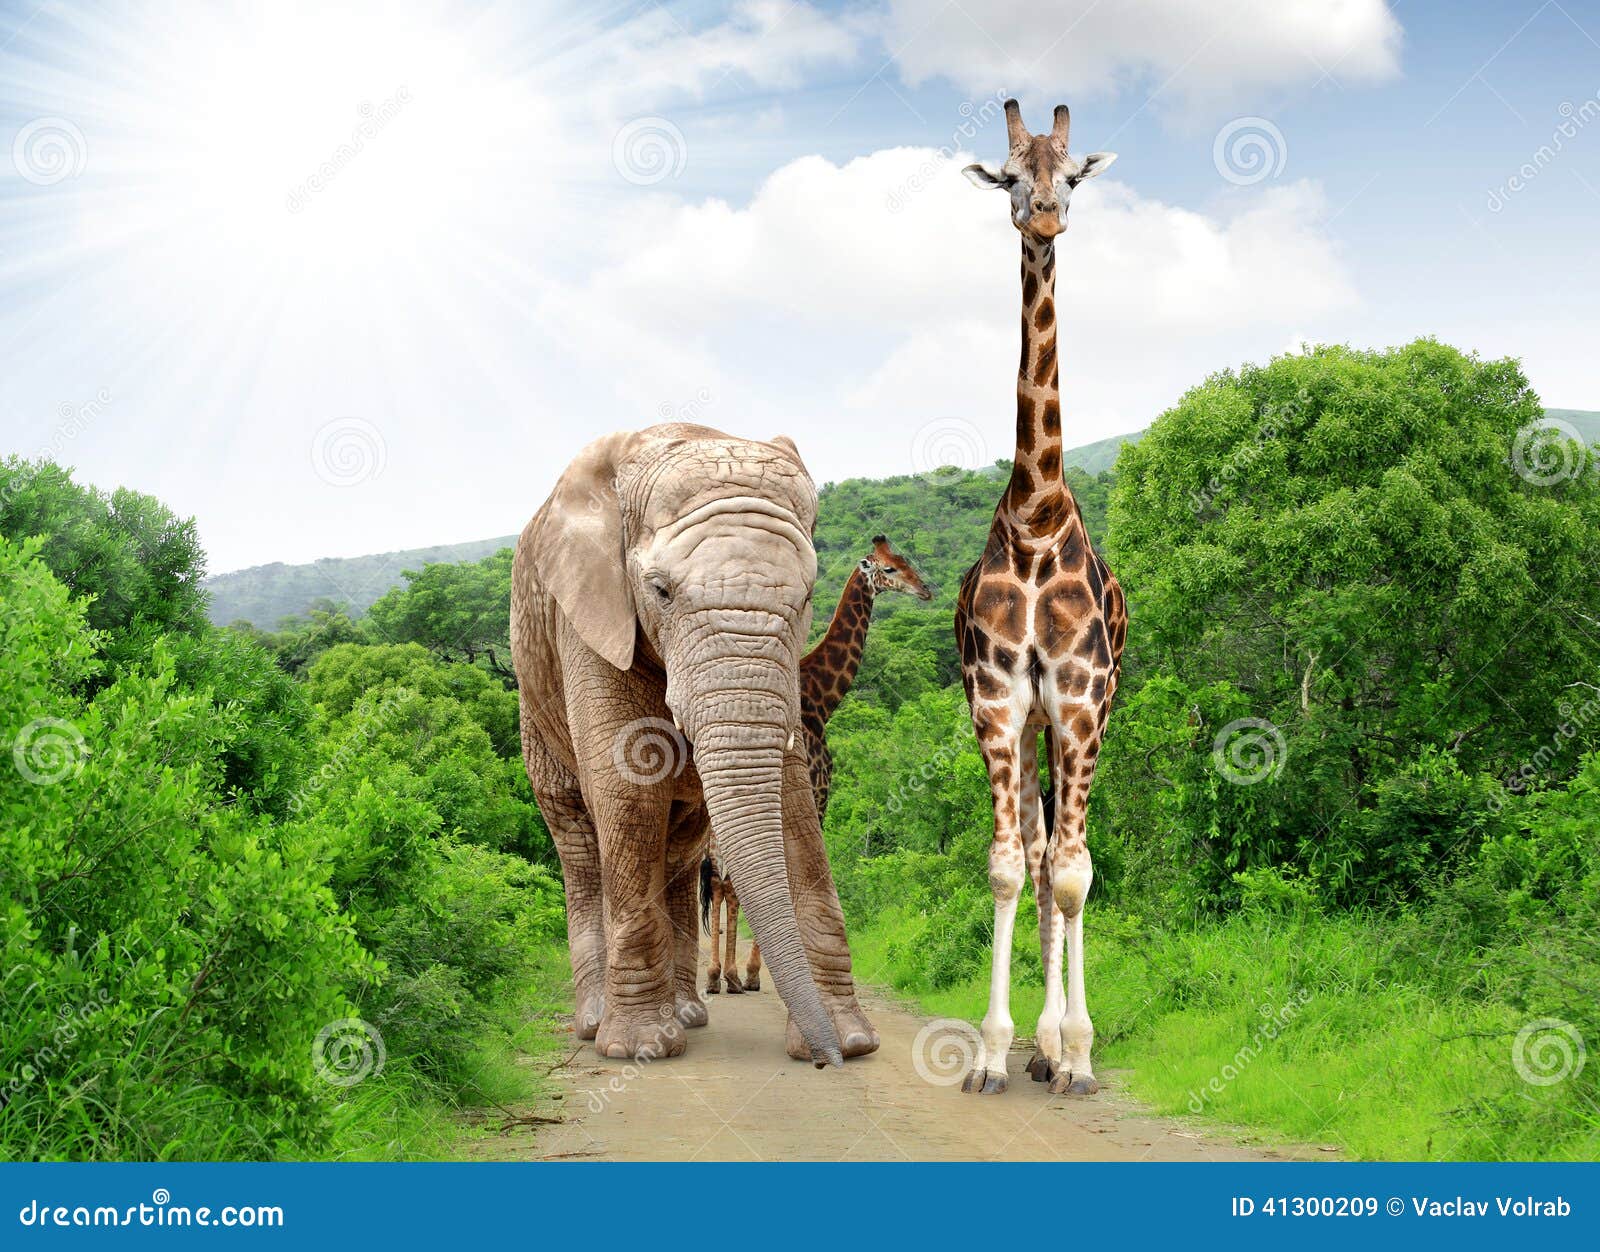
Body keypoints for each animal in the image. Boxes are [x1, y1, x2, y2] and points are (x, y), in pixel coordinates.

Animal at [510, 423, 879, 1066]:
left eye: (808, 596)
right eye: (659, 591)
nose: (824, 1059)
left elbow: (792, 808)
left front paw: (849, 1039)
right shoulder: (591, 616)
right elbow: (628, 791)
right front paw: (638, 1046)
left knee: (679, 851)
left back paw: (688, 1011)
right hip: (535, 704)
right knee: (577, 838)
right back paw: (596, 1022)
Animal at [702, 536, 933, 995]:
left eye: (905, 559)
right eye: (890, 569)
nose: (926, 591)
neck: (823, 699)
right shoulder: (818, 794)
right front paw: (760, 971)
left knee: (719, 882)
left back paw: (718, 976)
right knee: (729, 881)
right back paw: (731, 975)